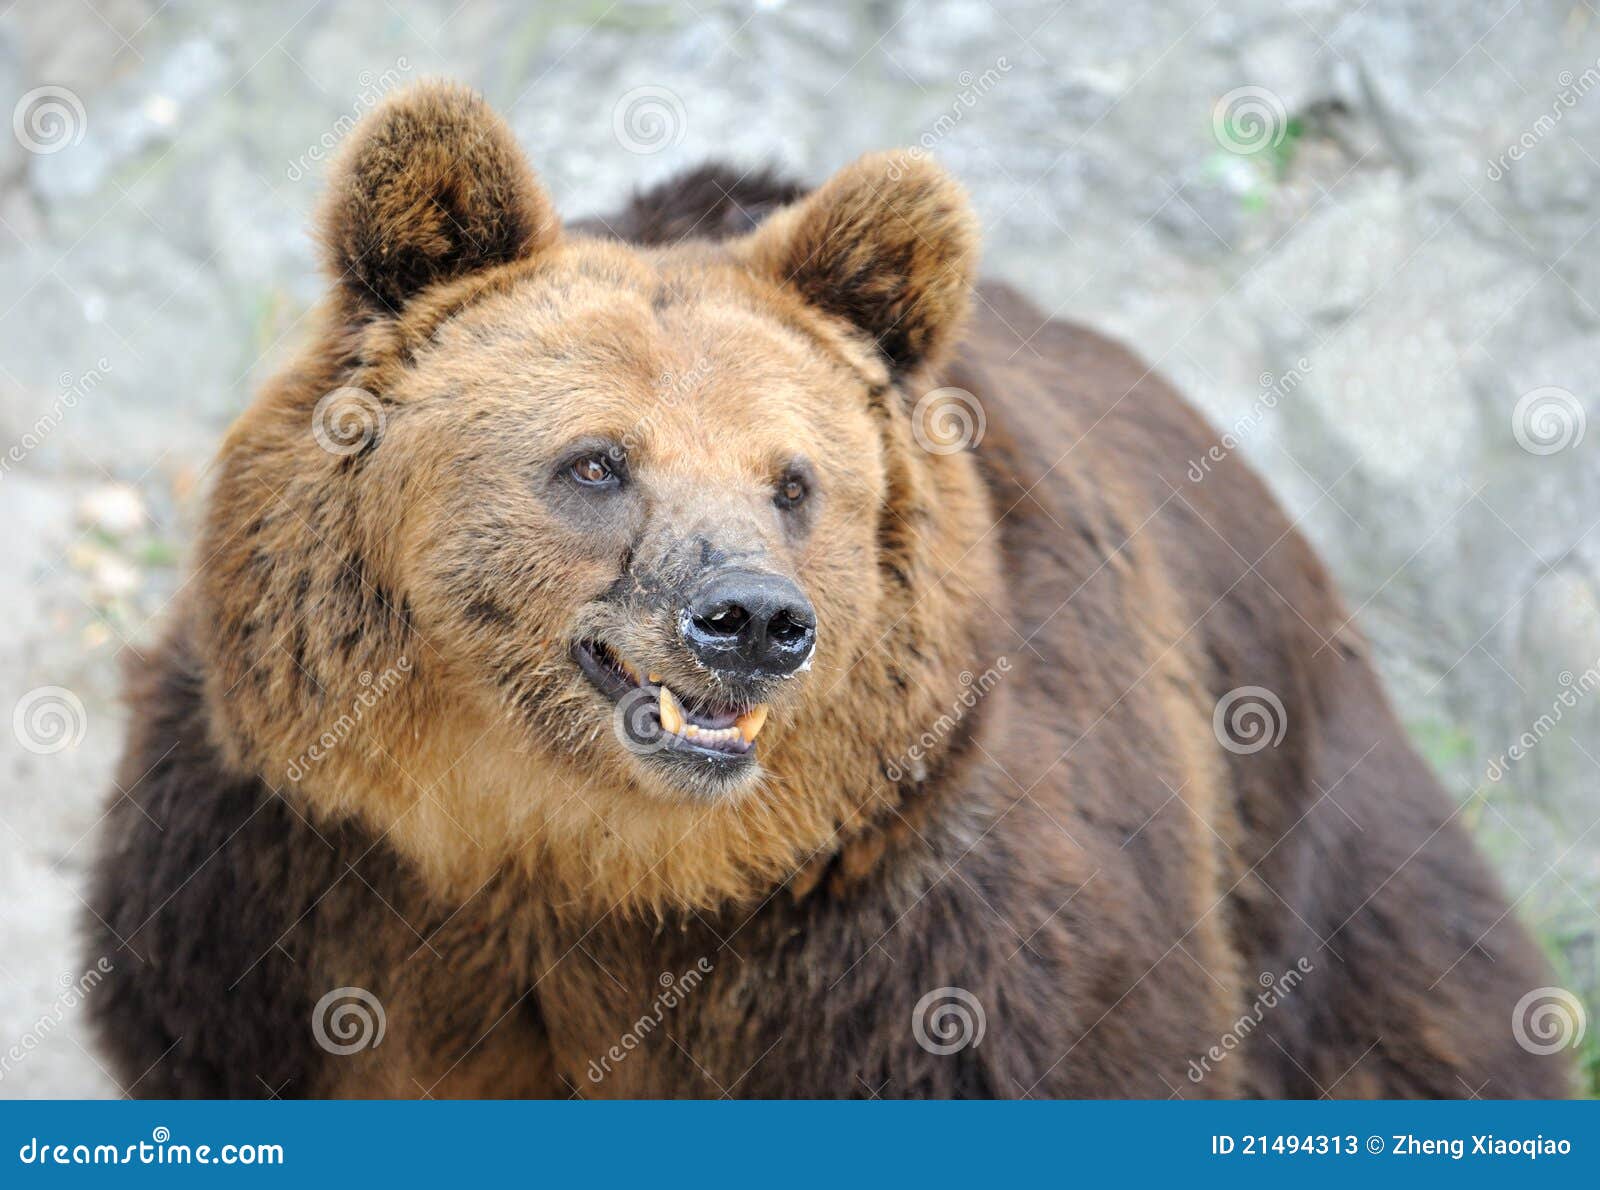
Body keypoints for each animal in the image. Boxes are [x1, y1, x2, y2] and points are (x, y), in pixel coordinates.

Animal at [84, 81, 1569, 1099]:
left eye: (794, 481)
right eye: (597, 461)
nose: (751, 618)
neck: (570, 861)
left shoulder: (918, 937)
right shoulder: (294, 883)